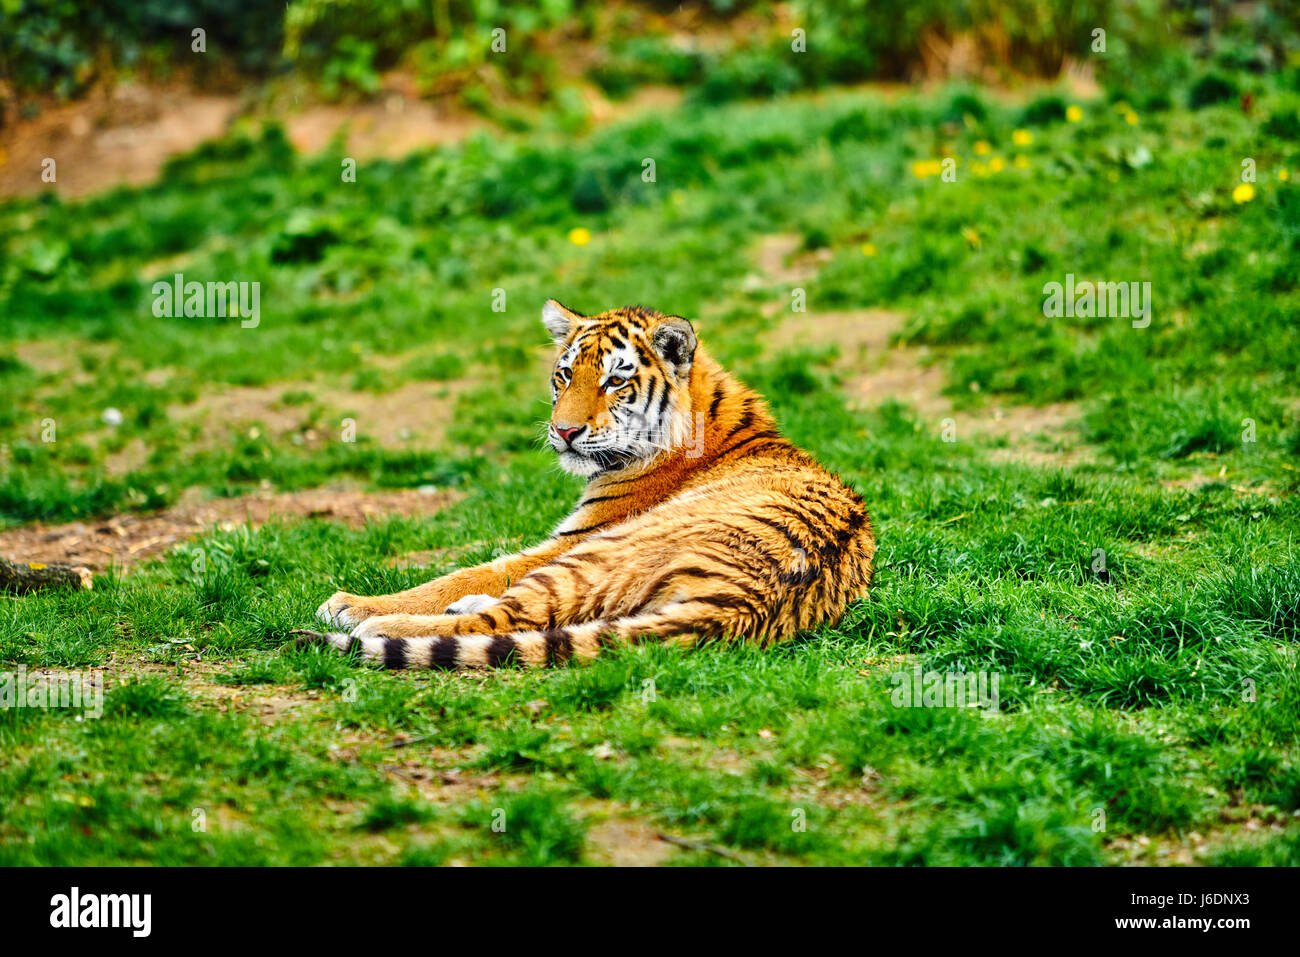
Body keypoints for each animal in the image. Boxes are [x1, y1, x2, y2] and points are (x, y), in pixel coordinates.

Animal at [296, 299, 875, 670]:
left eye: (616, 380)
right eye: (565, 374)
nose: (564, 431)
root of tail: (740, 602)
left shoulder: (572, 538)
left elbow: (462, 573)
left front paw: (351, 603)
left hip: (598, 554)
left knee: (499, 620)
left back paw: (377, 626)